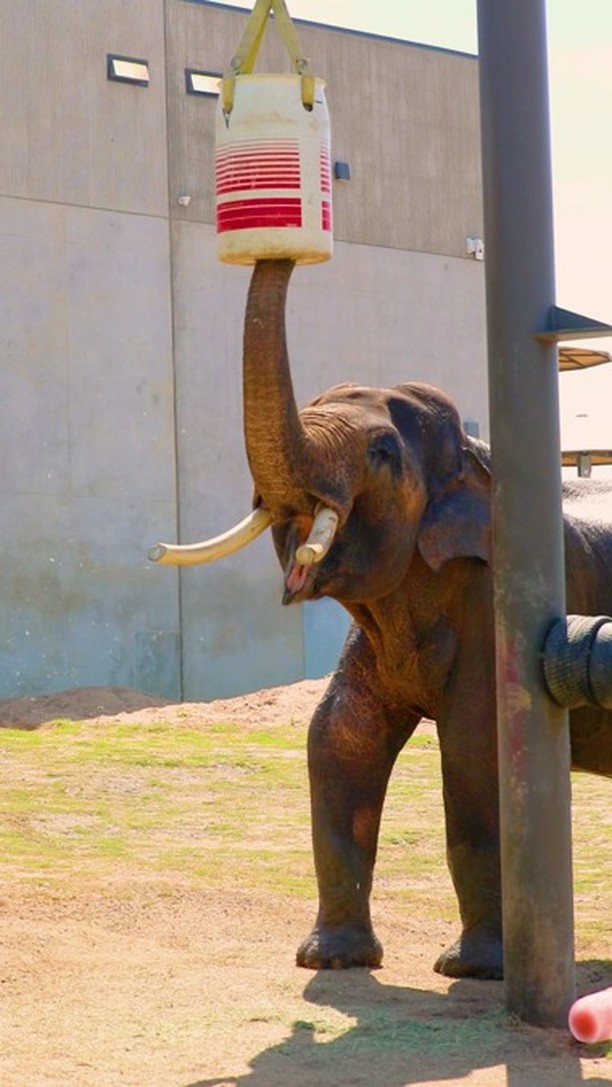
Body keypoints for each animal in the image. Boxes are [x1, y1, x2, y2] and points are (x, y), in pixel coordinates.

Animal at [152, 258, 612, 979]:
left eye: (381, 453)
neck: (475, 452)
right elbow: (340, 736)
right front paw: (330, 959)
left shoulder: (493, 605)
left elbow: (475, 748)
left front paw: (473, 970)